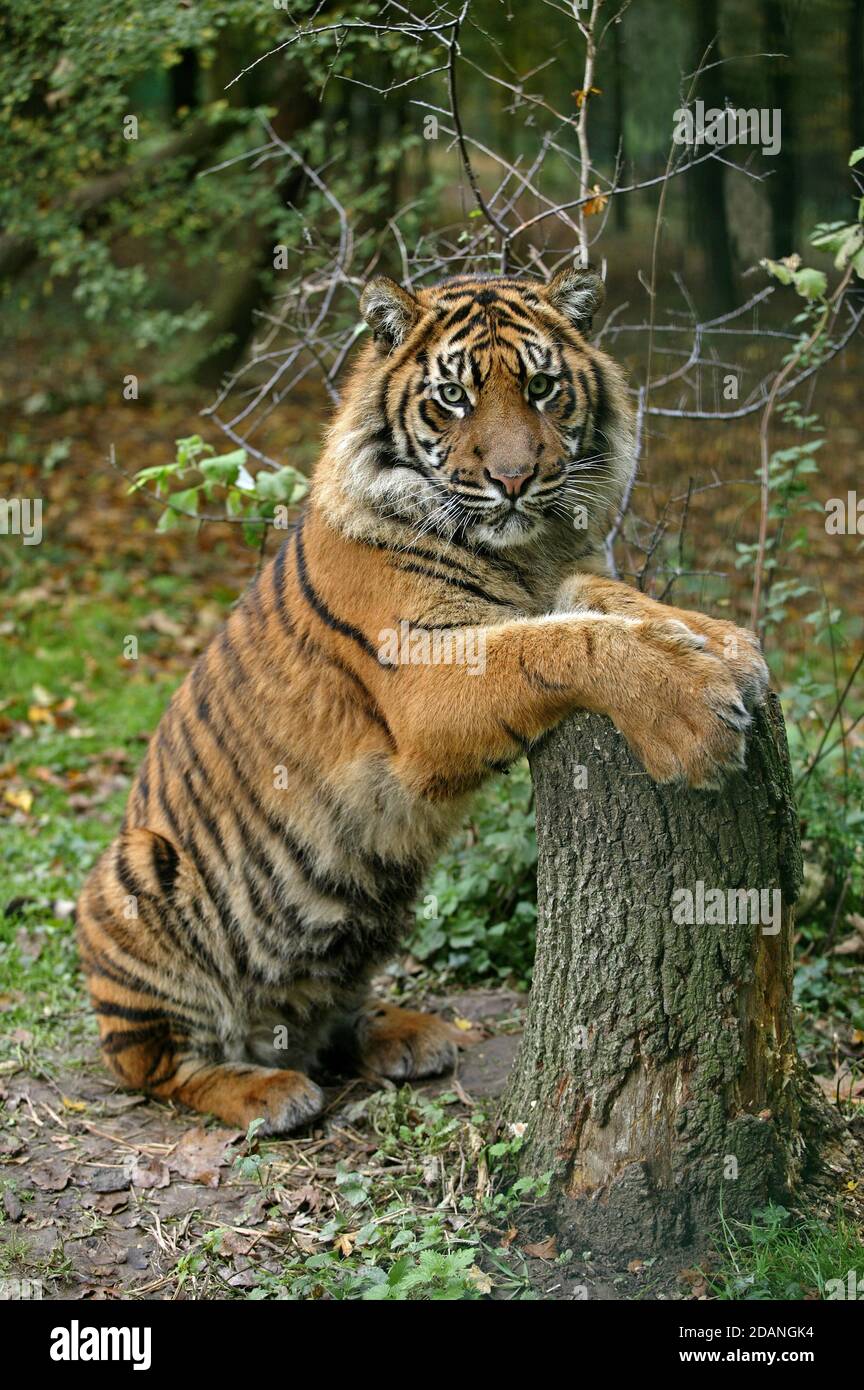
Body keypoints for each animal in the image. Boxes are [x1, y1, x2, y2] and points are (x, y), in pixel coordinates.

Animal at [76, 266, 769, 1134]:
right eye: (453, 396)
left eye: (542, 387)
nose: (514, 480)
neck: (520, 554)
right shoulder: (425, 679)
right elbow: (564, 642)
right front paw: (698, 716)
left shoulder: (558, 579)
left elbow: (613, 601)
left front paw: (726, 647)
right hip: (136, 872)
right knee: (160, 1066)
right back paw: (266, 1093)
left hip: (369, 914)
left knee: (327, 1013)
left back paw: (403, 1035)